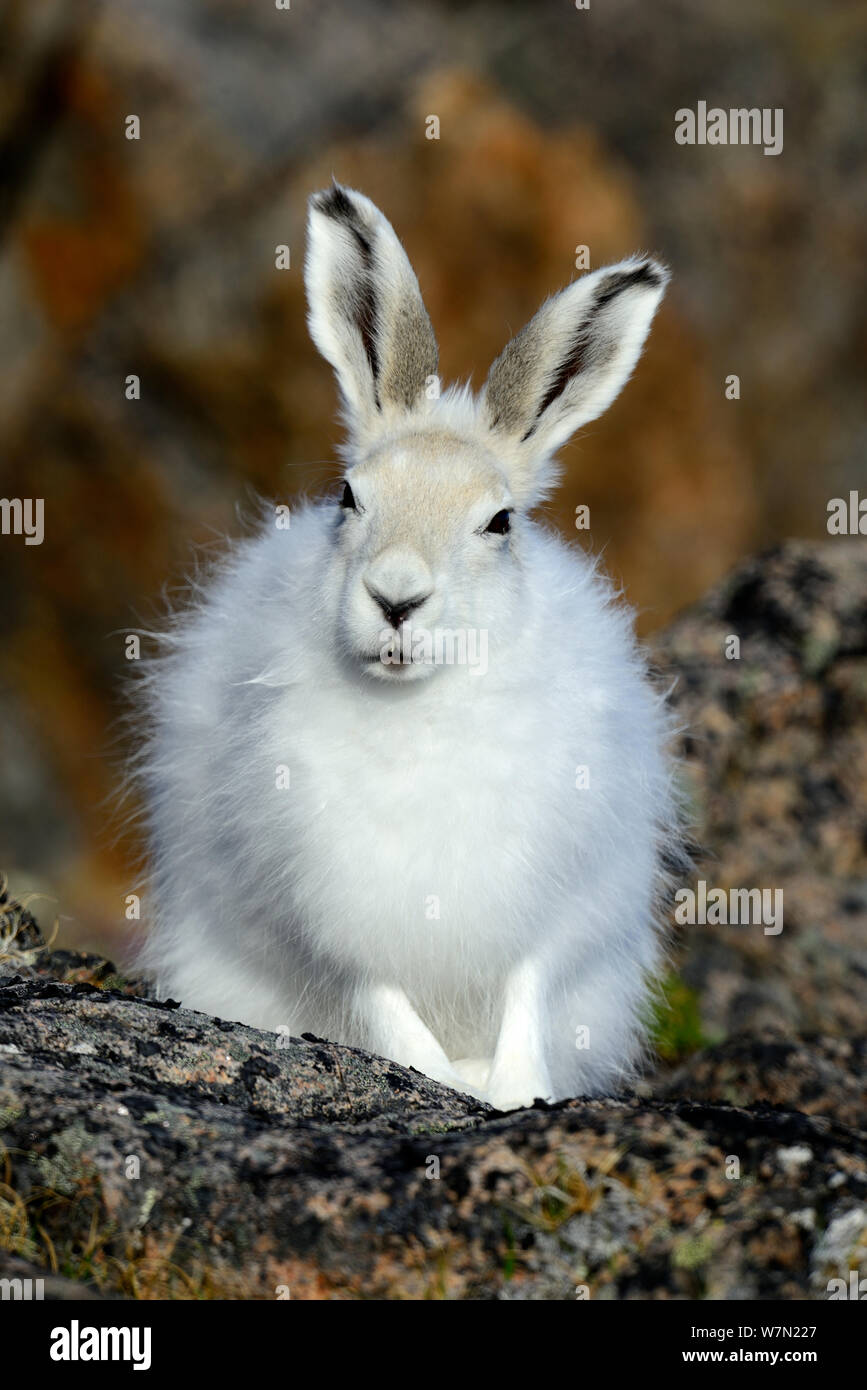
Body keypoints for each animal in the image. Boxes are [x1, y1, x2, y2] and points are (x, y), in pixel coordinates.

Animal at [134, 182, 679, 1110]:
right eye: (348, 496)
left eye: (498, 523)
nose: (395, 596)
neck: (415, 708)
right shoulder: (315, 915)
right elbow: (377, 1000)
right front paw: (441, 1079)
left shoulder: (565, 897)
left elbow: (528, 988)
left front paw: (511, 1092)